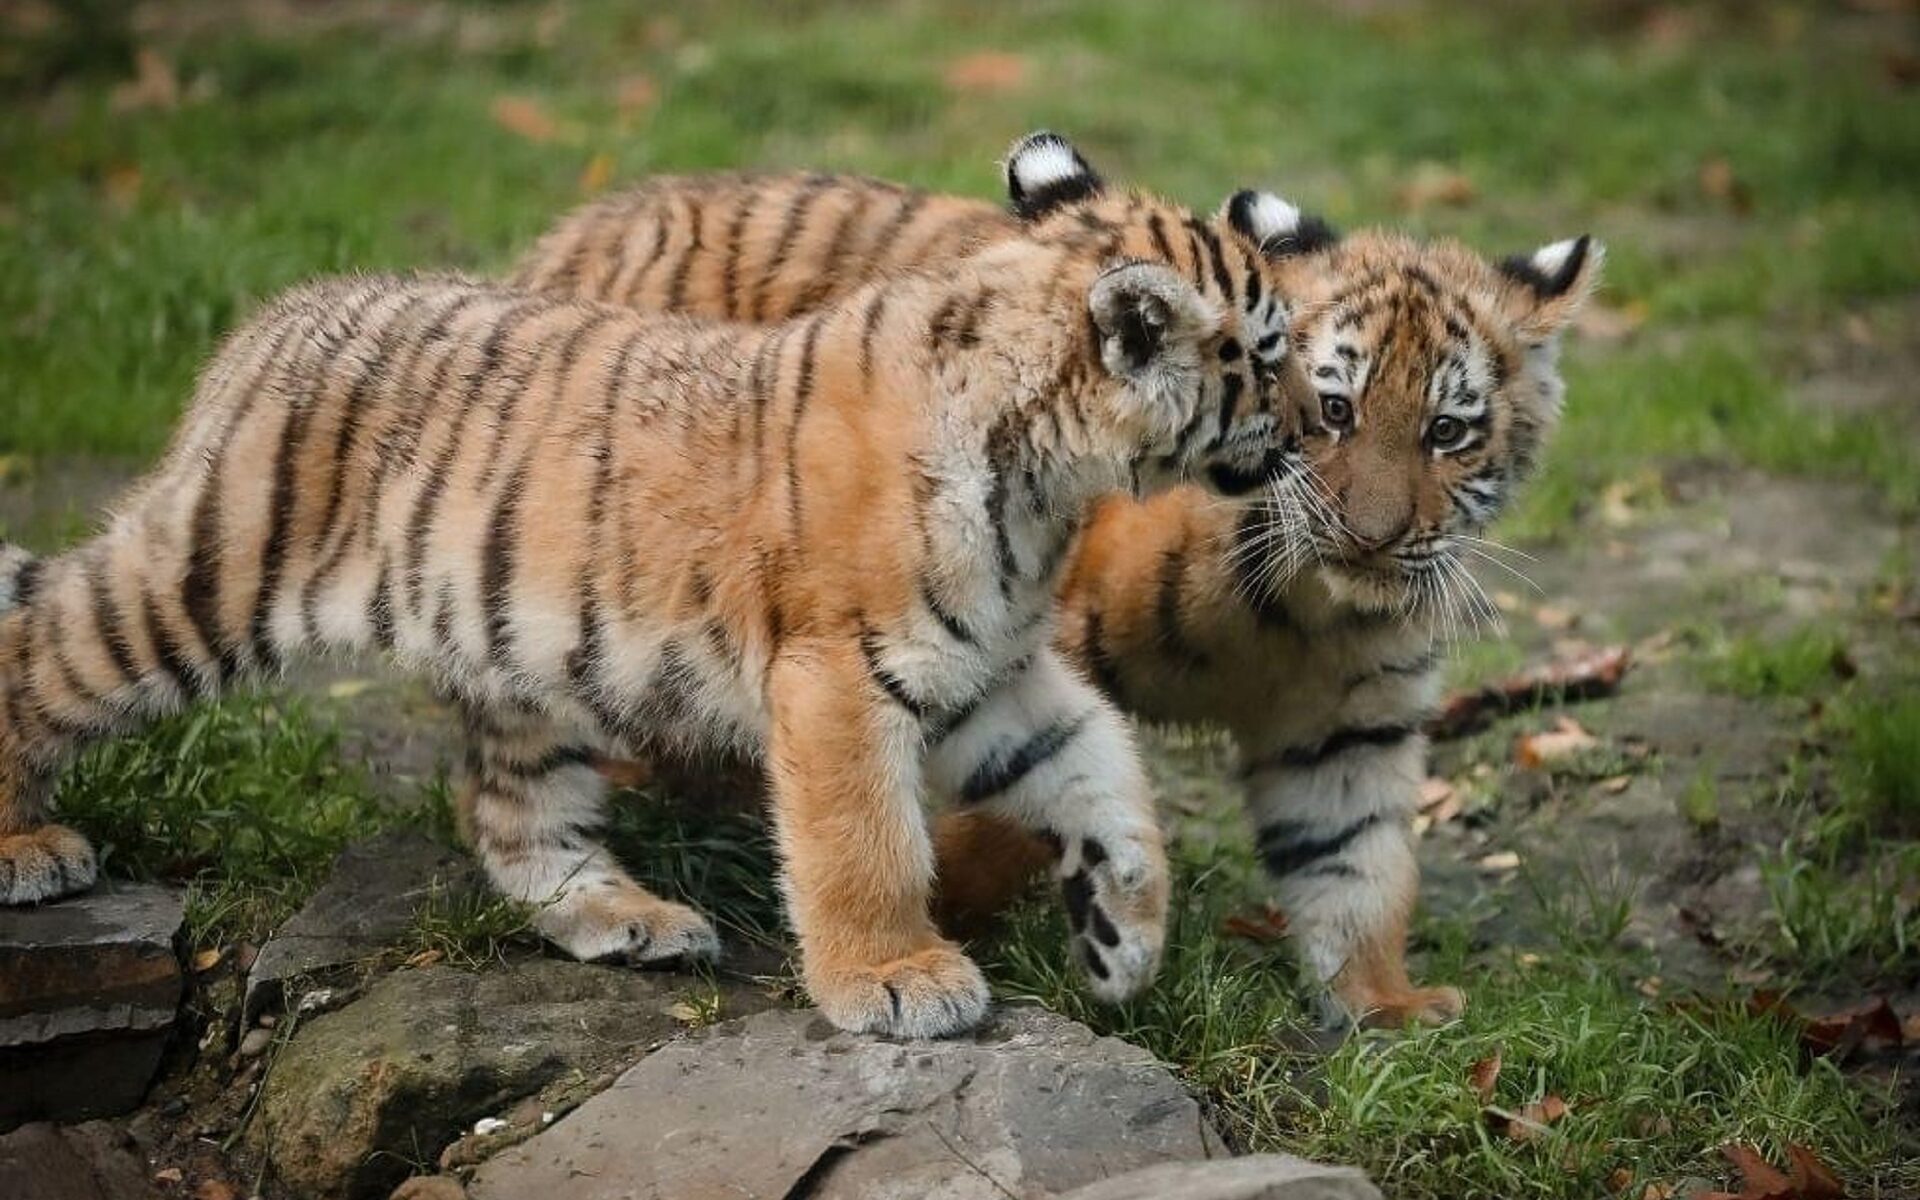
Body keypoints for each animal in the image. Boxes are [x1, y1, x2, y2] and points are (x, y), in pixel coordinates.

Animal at [0, 133, 1312, 1040]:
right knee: (47, 647)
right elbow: (866, 844)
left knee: (511, 814)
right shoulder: (840, 678)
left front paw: (1124, 939)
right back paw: (26, 847)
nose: (1324, 425)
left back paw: (621, 918)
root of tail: (274, 316)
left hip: (526, 662)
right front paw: (895, 979)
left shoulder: (986, 670)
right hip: (200, 582)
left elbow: (1103, 770)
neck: (1050, 483)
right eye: (1271, 355)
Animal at [513, 143, 1601, 1028]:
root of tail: (572, 234)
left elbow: (1358, 862)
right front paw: (945, 920)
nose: (1372, 536)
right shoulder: (1033, 632)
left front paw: (1384, 1007)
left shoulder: (1351, 721)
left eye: (1448, 432)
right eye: (1337, 409)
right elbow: (1012, 808)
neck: (1303, 609)